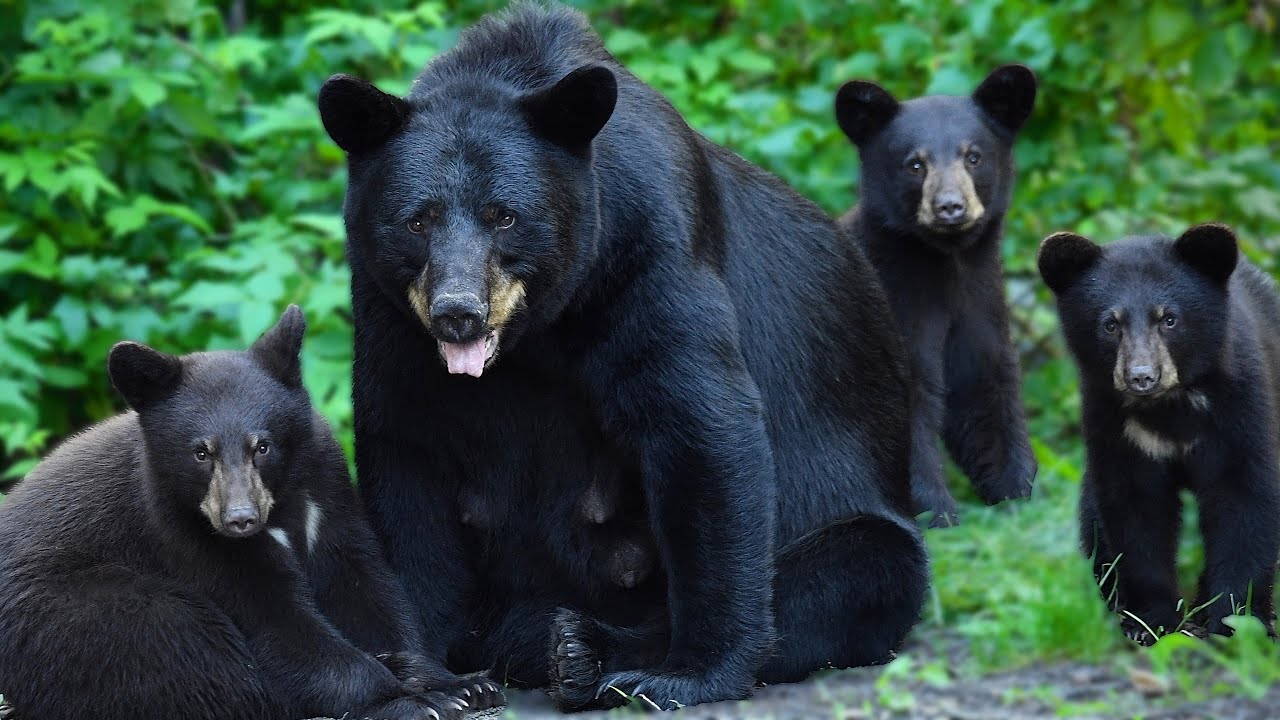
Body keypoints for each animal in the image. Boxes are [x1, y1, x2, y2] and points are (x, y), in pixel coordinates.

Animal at [0, 306, 503, 720]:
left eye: (263, 445)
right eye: (201, 452)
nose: (239, 519)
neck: (279, 509)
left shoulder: (327, 494)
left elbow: (364, 588)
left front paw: (455, 683)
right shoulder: (180, 530)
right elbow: (275, 624)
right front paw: (412, 699)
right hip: (73, 612)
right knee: (183, 646)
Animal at [316, 2, 928, 711]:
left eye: (504, 215)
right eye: (417, 219)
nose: (458, 311)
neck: (538, 327)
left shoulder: (648, 247)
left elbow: (699, 425)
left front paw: (692, 671)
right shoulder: (388, 309)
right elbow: (407, 457)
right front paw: (436, 681)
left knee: (857, 571)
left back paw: (581, 651)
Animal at [834, 65, 1040, 526]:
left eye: (973, 156)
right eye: (915, 164)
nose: (950, 206)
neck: (946, 266)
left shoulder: (980, 304)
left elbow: (984, 389)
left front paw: (1017, 496)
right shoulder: (893, 308)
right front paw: (938, 515)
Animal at [1038, 223, 1280, 643]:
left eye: (1168, 319)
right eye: (1111, 324)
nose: (1142, 376)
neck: (1170, 407)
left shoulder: (1240, 406)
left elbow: (1245, 498)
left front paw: (1236, 623)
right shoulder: (1113, 423)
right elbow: (1136, 511)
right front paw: (1151, 622)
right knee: (1094, 523)